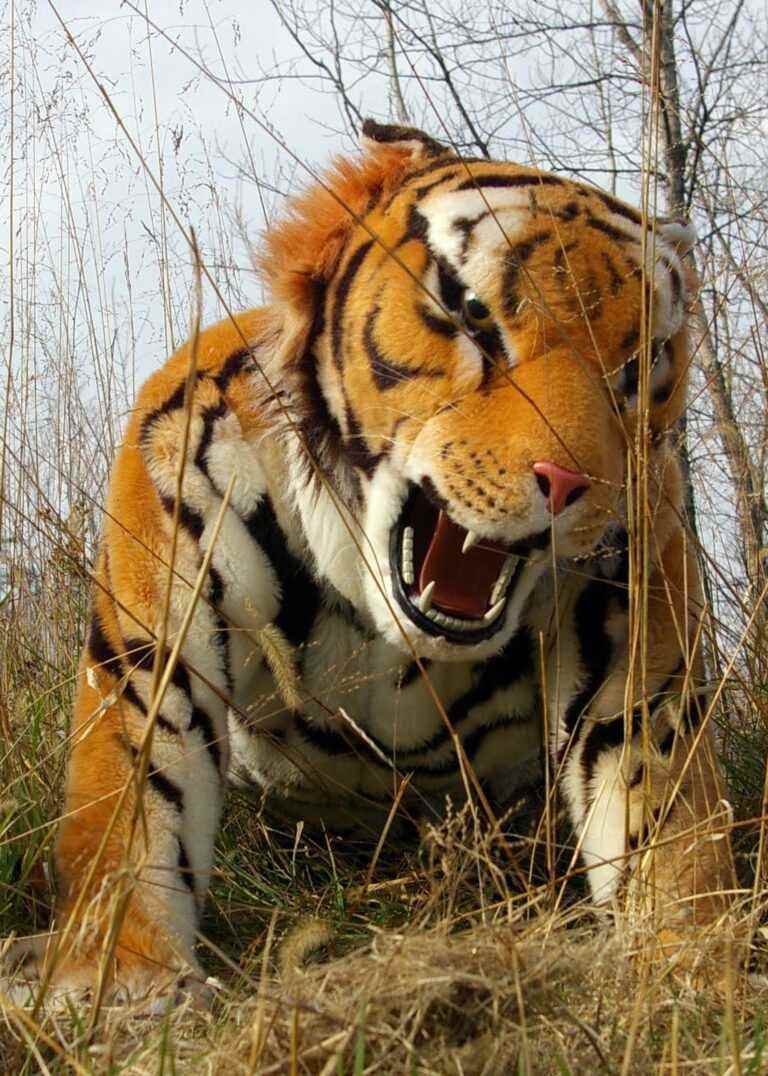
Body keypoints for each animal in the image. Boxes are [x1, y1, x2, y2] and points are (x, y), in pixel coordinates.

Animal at [12, 120, 735, 1002]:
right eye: (469, 312)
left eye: (643, 366)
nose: (574, 484)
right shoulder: (158, 634)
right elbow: (130, 811)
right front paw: (121, 983)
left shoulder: (634, 631)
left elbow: (664, 820)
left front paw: (690, 975)